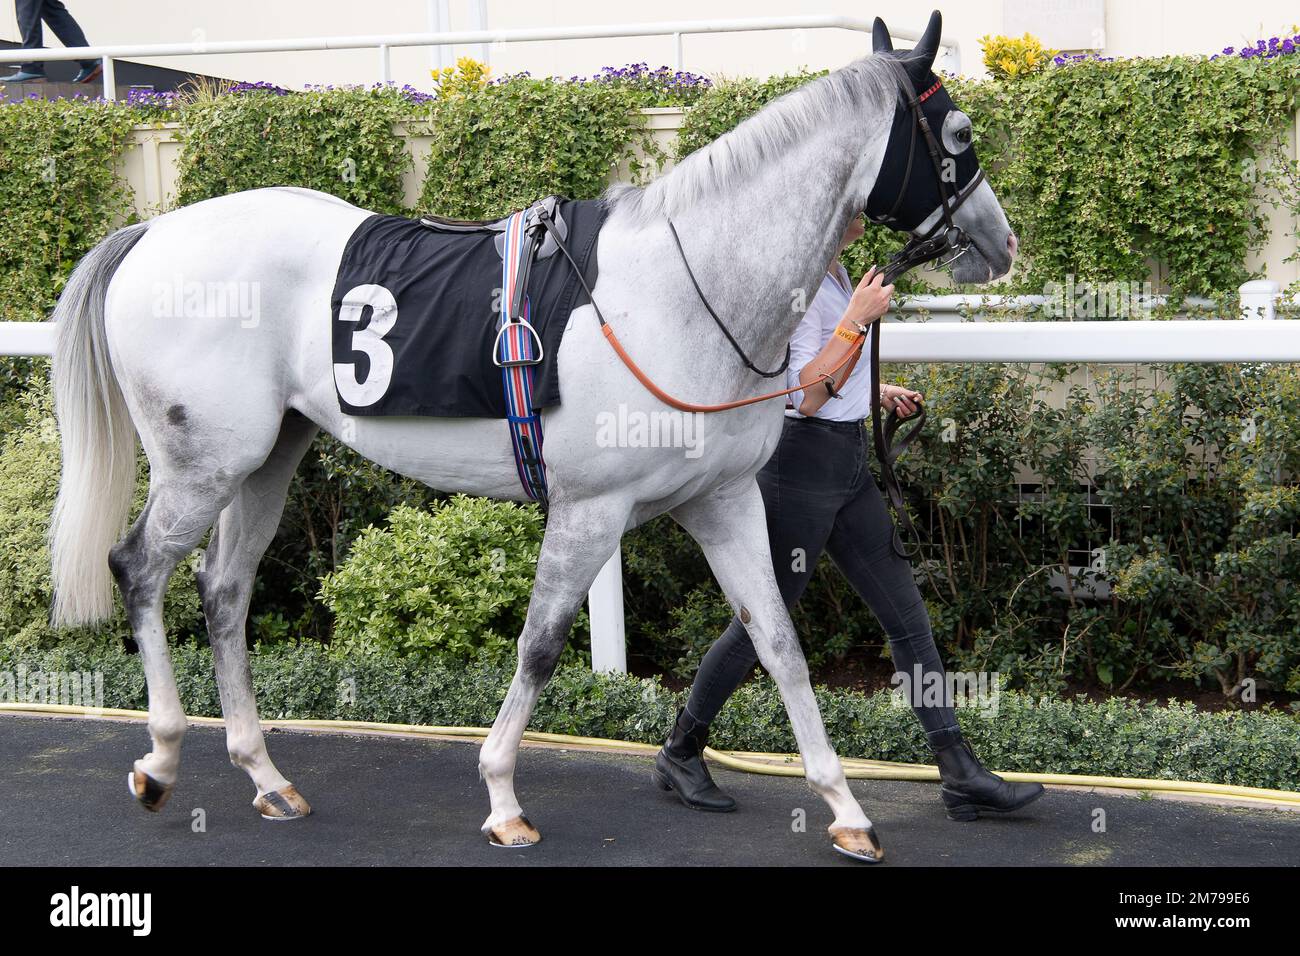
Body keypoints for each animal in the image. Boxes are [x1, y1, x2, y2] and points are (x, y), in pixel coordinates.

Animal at [47, 11, 1015, 862]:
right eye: (960, 131)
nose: (1000, 242)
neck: (684, 288)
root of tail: (151, 231)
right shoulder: (591, 508)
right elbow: (543, 645)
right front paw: (504, 797)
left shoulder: (725, 501)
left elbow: (776, 643)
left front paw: (847, 810)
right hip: (202, 464)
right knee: (140, 568)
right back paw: (161, 759)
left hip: (266, 458)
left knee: (224, 591)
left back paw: (266, 776)